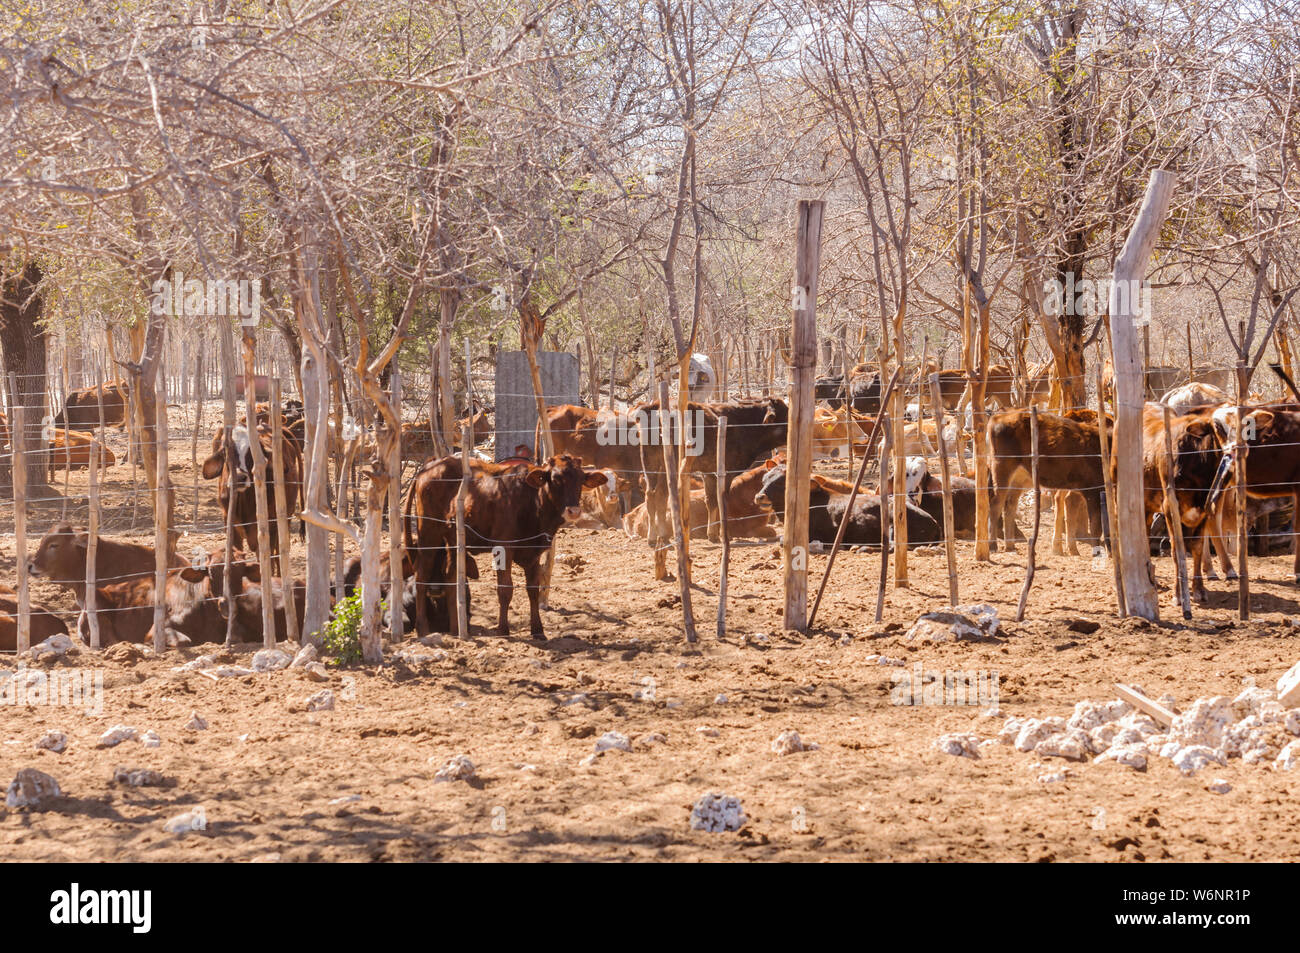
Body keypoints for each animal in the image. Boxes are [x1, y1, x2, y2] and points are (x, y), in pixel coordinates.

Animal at [201, 422, 304, 574]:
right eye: (226, 451)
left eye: (252, 452)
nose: (239, 478)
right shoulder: (230, 525)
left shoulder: (266, 528)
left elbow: (267, 560)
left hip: (285, 518)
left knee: (279, 551)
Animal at [404, 452, 608, 638]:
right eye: (556, 478)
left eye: (581, 479)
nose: (574, 511)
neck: (532, 501)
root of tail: (431, 464)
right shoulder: (503, 548)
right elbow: (505, 589)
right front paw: (503, 629)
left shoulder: (533, 553)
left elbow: (533, 589)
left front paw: (538, 630)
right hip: (428, 533)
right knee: (421, 575)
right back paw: (422, 628)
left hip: (453, 540)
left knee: (450, 577)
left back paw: (457, 629)